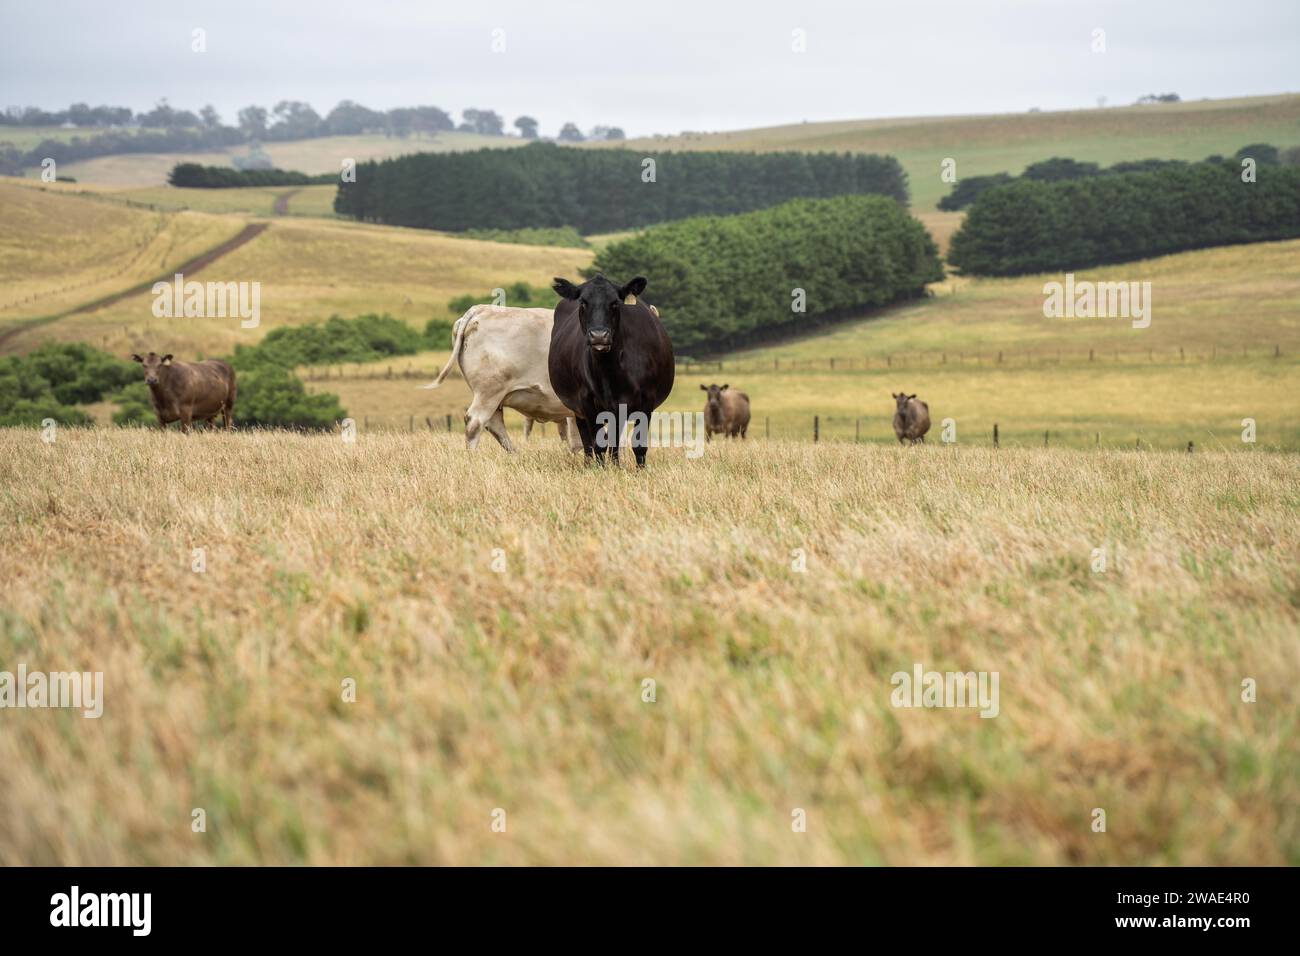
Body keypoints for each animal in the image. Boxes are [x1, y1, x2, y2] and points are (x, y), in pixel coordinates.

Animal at [421, 304, 581, 453]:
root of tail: (481, 308)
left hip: (495, 396)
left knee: (495, 425)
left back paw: (515, 454)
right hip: (489, 391)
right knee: (475, 422)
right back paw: (472, 457)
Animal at [548, 274, 675, 468]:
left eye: (615, 303)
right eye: (583, 302)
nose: (599, 336)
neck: (610, 370)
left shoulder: (646, 399)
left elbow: (638, 444)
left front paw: (638, 470)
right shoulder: (586, 400)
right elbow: (598, 443)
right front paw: (600, 470)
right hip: (578, 408)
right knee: (586, 440)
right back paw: (589, 465)